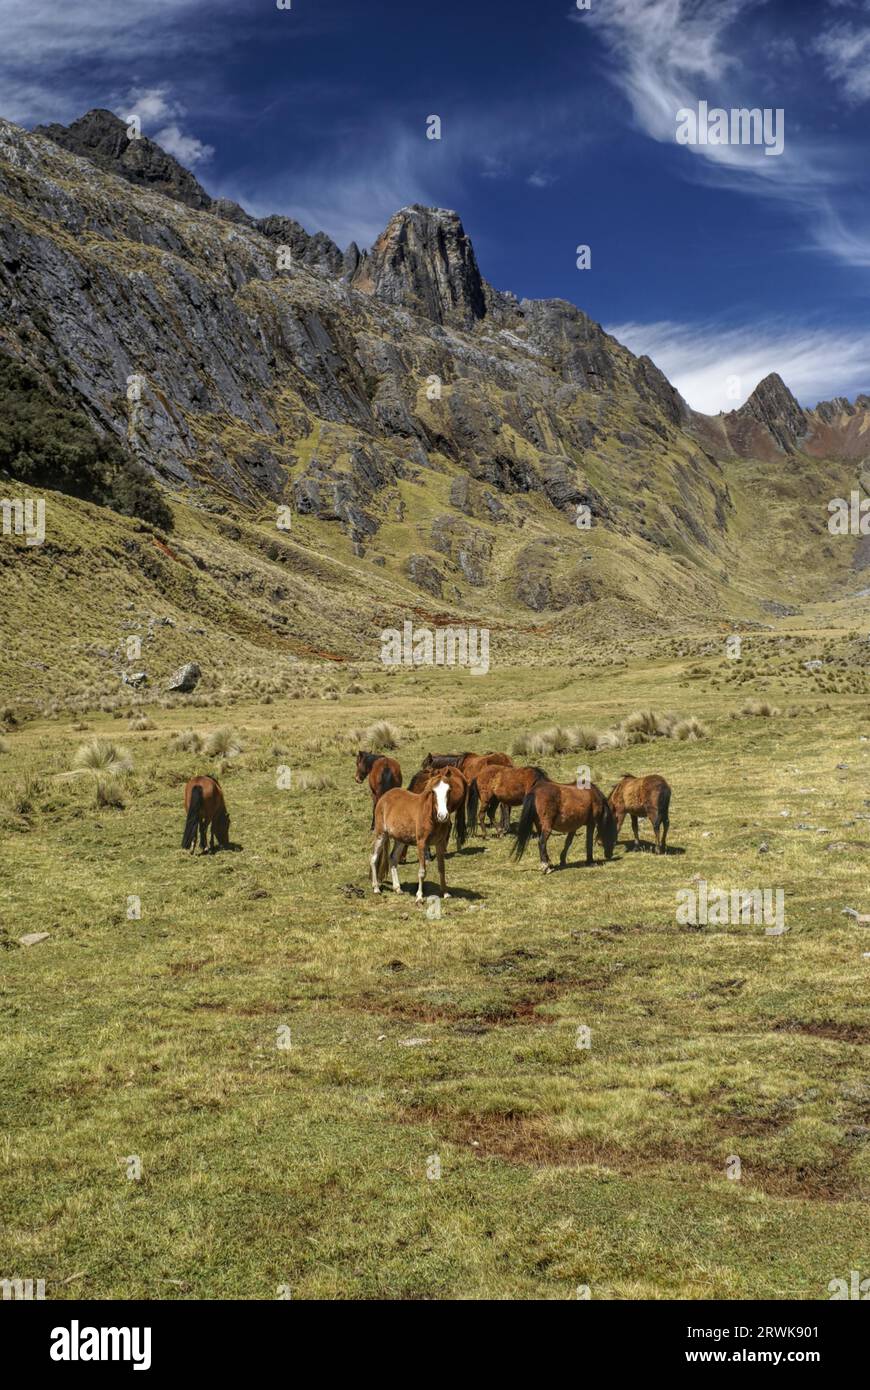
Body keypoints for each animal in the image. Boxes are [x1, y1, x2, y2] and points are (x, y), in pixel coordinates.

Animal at [370, 767, 467, 900]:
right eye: (433, 791)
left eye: (449, 790)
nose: (443, 816)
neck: (431, 818)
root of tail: (385, 796)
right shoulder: (421, 844)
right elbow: (422, 872)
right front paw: (419, 896)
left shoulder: (440, 843)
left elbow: (441, 868)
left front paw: (446, 893)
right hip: (381, 834)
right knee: (374, 858)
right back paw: (376, 888)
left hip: (400, 839)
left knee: (393, 858)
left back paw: (398, 888)